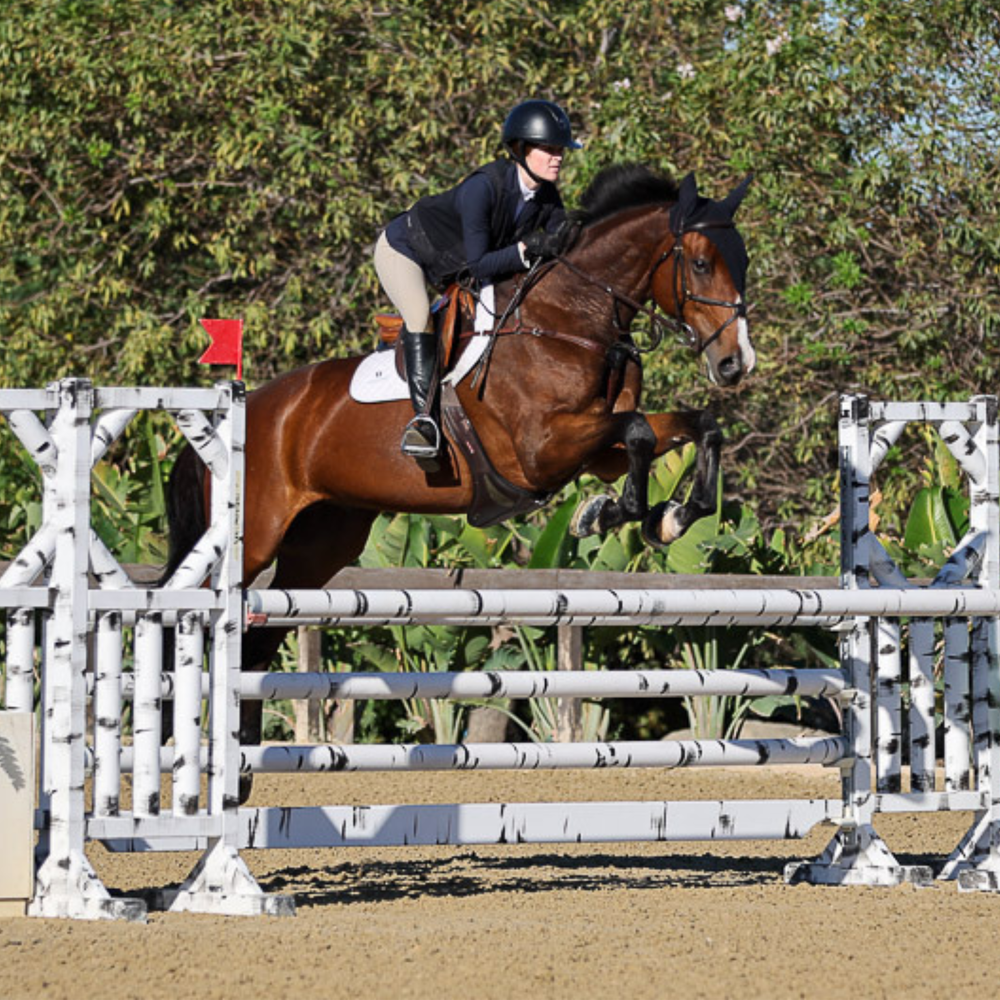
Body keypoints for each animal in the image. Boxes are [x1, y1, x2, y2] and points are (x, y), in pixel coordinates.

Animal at [164, 164, 755, 762]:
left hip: (321, 546)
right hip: (253, 538)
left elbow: (693, 426)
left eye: (743, 261)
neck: (569, 319)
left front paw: (670, 517)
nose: (735, 363)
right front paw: (607, 514)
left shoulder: (598, 452)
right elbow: (636, 432)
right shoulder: (542, 451)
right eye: (701, 263)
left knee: (258, 644)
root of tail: (246, 412)